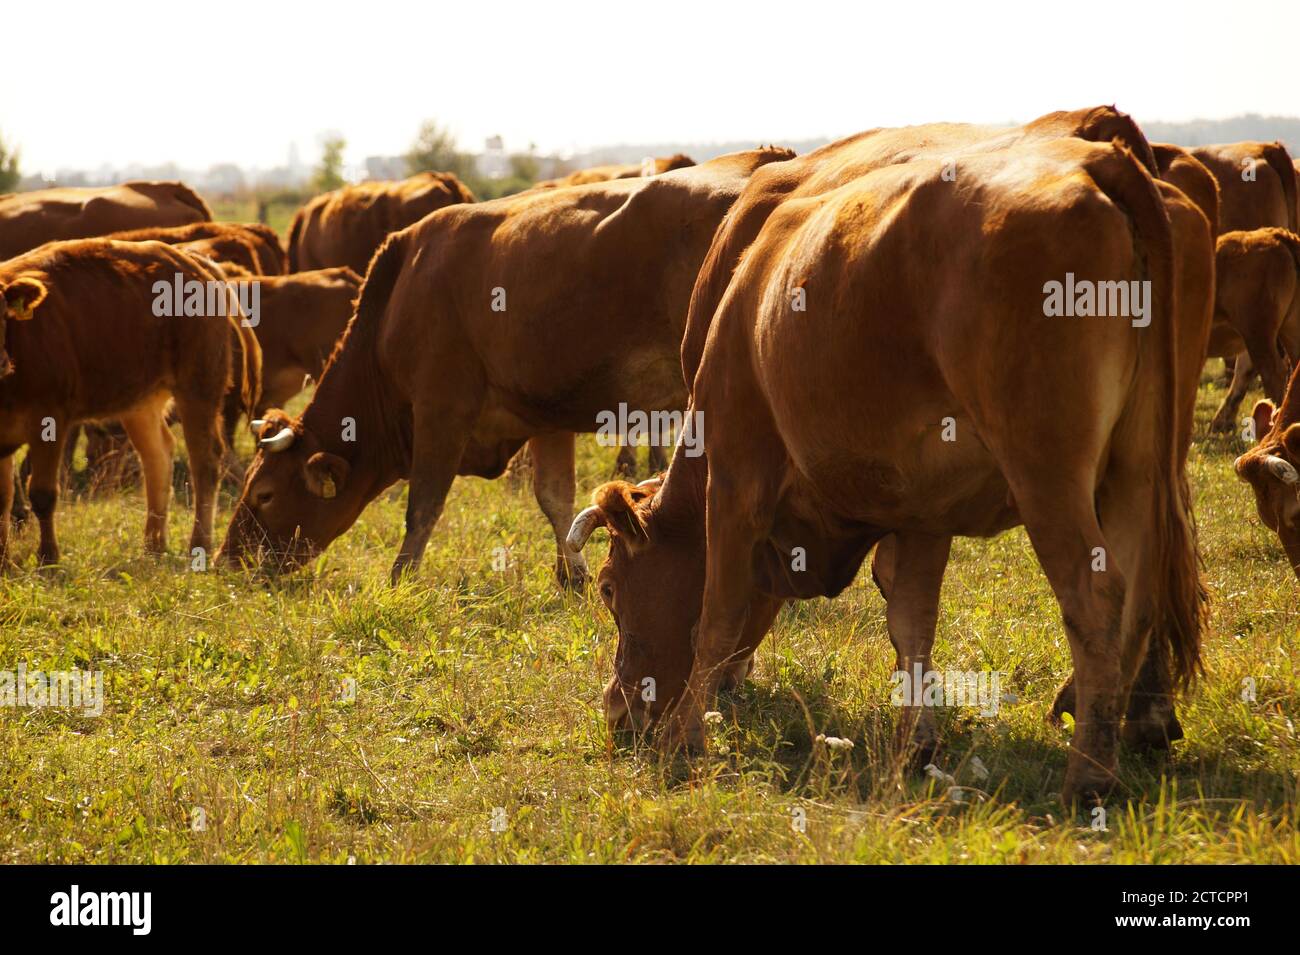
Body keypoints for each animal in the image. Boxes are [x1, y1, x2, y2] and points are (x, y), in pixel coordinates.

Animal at [0, 238, 258, 568]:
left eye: (2, 315)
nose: (1, 362)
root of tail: (189, 260)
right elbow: (3, 499)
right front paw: (3, 560)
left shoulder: (49, 422)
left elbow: (42, 494)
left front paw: (48, 558)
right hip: (141, 404)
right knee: (158, 456)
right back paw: (153, 543)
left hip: (198, 389)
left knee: (205, 464)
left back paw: (197, 544)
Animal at [566, 118, 1212, 806]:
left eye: (609, 588)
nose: (616, 711)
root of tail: (1098, 159)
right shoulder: (924, 508)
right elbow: (911, 621)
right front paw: (915, 747)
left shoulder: (737, 474)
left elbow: (716, 613)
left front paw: (685, 739)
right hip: (1139, 470)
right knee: (1143, 592)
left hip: (1048, 476)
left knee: (1097, 598)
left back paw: (1088, 778)